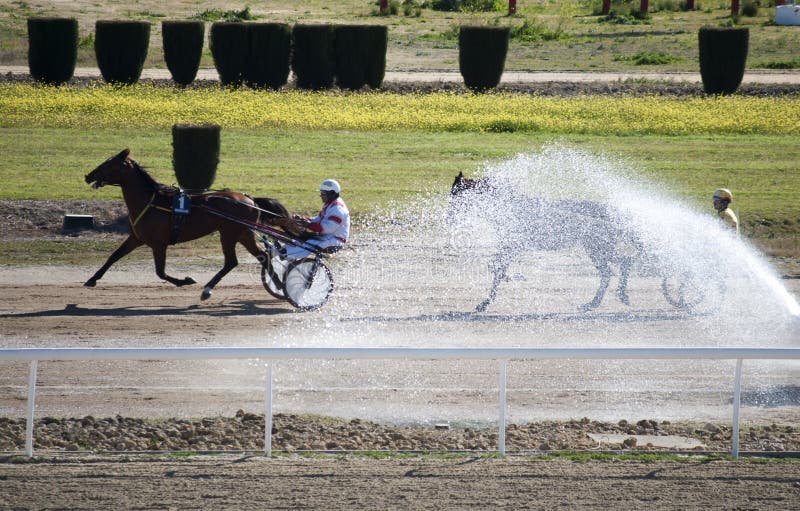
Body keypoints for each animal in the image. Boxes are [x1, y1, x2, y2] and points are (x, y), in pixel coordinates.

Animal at [84, 148, 296, 301]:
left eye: (109, 164)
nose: (88, 175)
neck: (150, 202)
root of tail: (248, 198)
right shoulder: (136, 238)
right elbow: (113, 256)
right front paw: (92, 279)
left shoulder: (158, 244)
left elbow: (160, 272)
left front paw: (185, 280)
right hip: (243, 233)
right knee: (262, 256)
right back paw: (280, 287)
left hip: (229, 233)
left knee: (232, 261)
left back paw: (207, 289)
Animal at [449, 172, 637, 313]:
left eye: (455, 194)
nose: (448, 217)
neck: (507, 207)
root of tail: (613, 212)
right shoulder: (509, 246)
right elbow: (495, 267)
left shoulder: (513, 246)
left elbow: (496, 268)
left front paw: (487, 301)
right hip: (597, 249)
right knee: (618, 266)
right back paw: (605, 300)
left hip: (598, 248)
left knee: (617, 267)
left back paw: (608, 299)